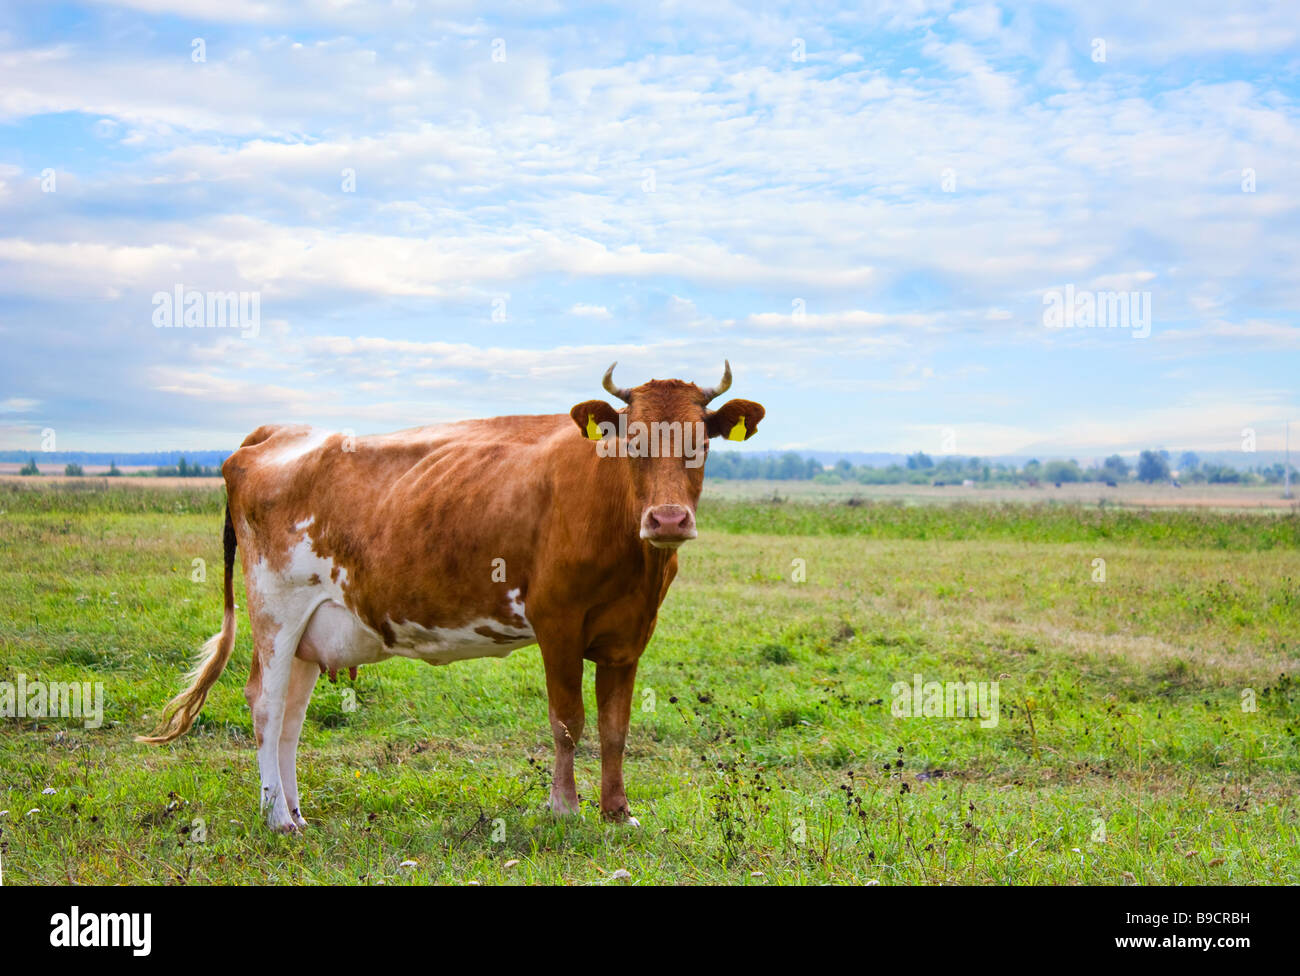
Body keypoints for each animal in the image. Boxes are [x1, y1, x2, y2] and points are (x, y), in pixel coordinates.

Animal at [139, 362, 765, 831]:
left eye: (701, 441)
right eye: (632, 441)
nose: (668, 518)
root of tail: (280, 431)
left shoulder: (628, 635)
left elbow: (616, 726)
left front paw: (618, 813)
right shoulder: (557, 622)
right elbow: (569, 720)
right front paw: (564, 808)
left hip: (309, 632)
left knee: (291, 716)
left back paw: (295, 811)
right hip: (276, 608)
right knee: (265, 704)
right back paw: (277, 820)